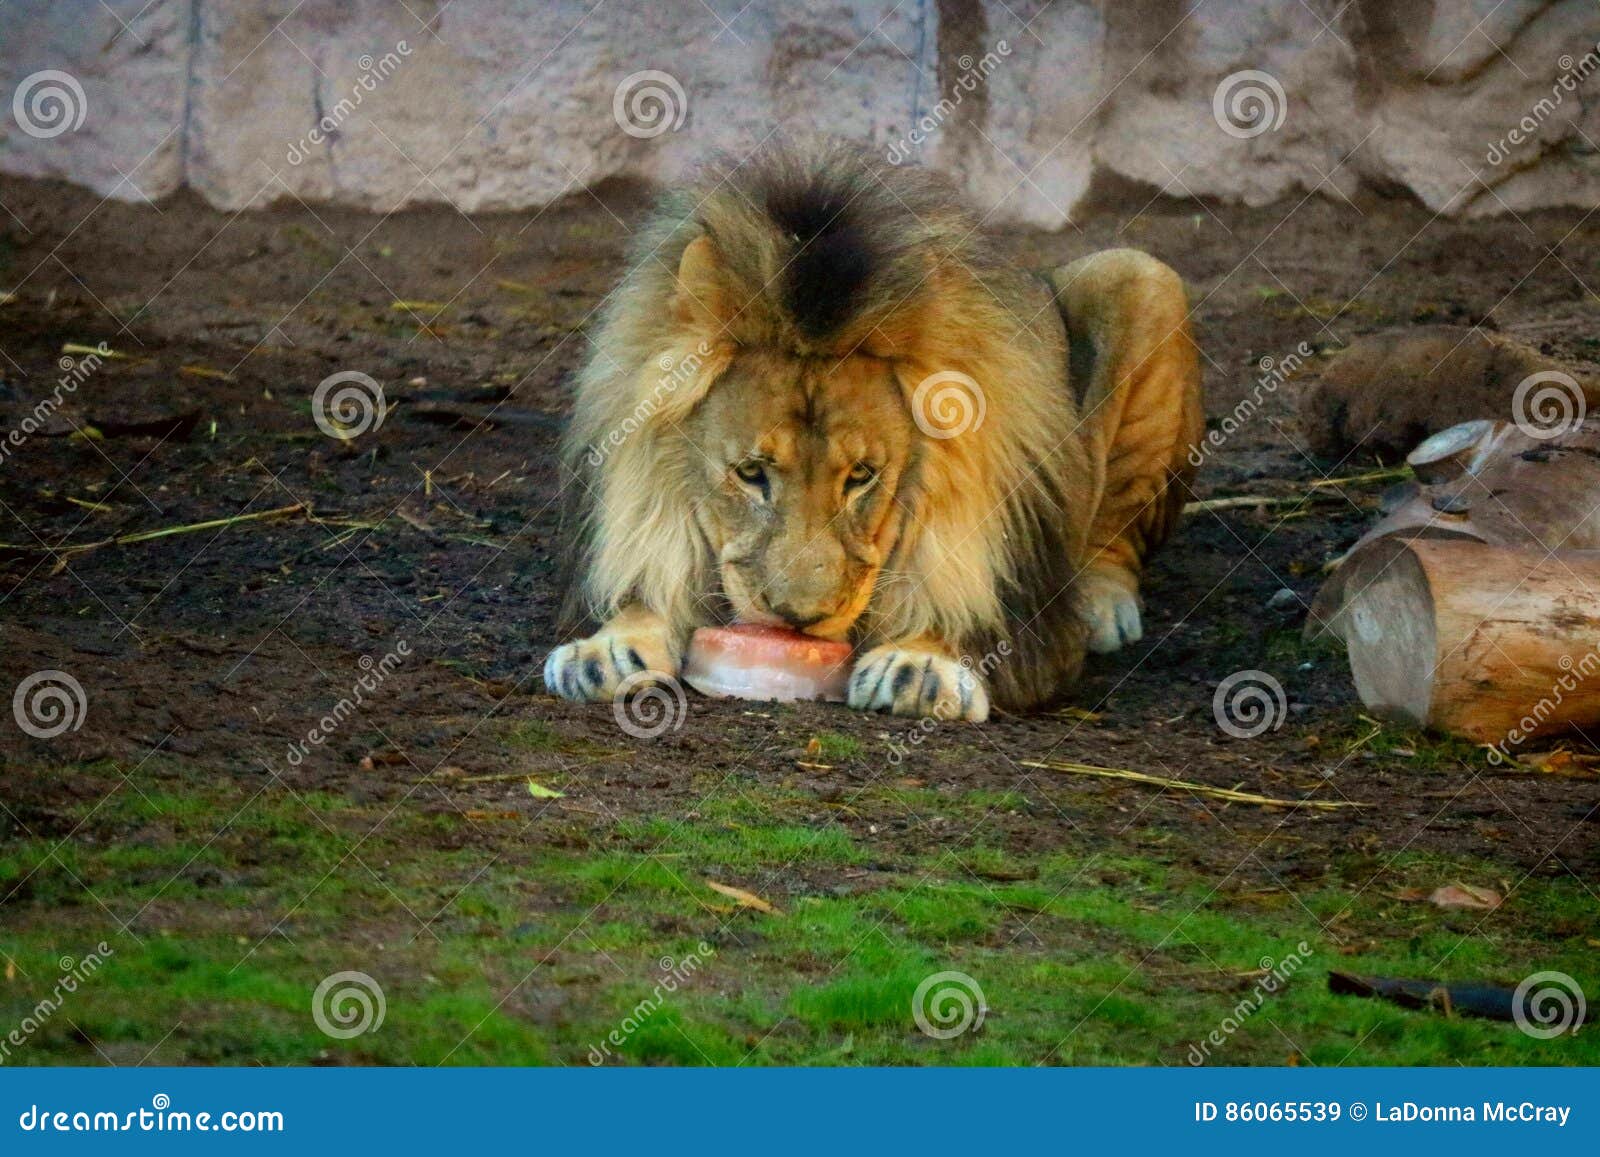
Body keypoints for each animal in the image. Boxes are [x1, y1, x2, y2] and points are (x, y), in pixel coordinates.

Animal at [544, 139, 1202, 721]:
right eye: (751, 474)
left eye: (862, 477)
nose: (799, 620)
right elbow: (648, 577)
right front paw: (610, 647)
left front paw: (922, 662)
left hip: (1143, 278)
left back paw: (1101, 606)